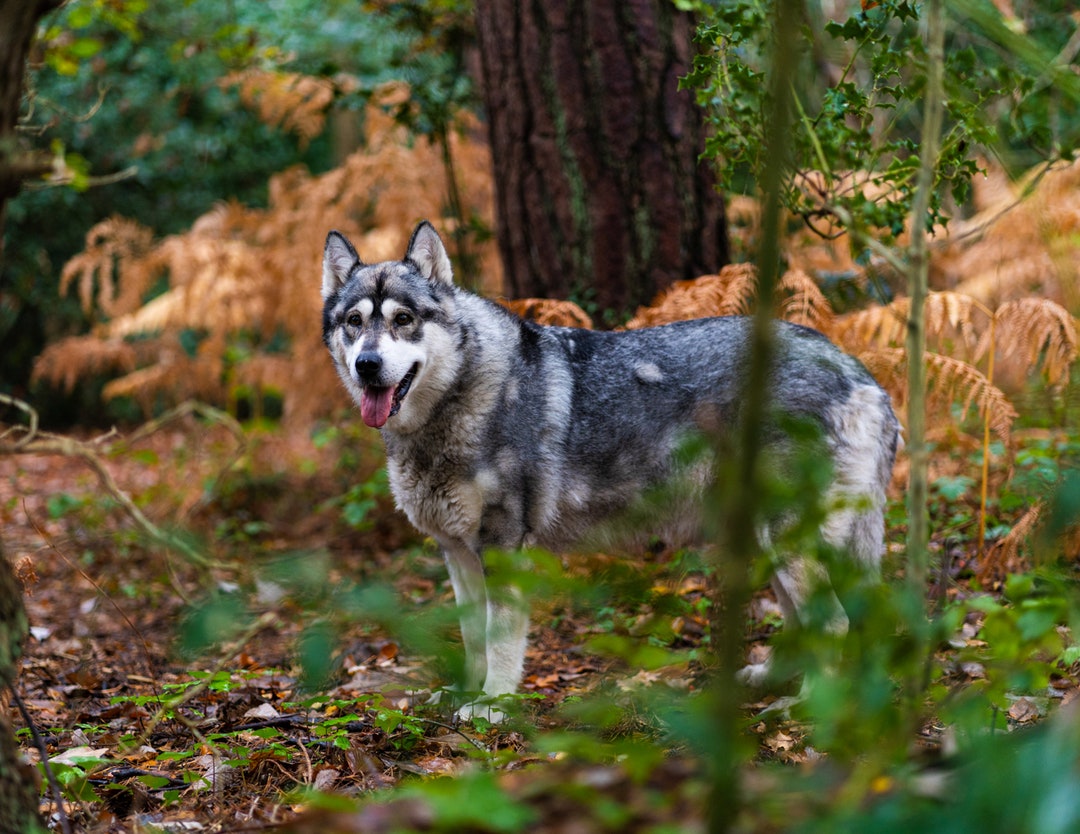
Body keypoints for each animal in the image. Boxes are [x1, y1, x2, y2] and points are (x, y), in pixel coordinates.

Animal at [321, 221, 901, 719]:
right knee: (806, 622)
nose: (367, 366)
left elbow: (500, 640)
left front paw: (490, 706)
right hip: (766, 542)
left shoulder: (502, 546)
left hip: (785, 540)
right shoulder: (457, 552)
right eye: (355, 323)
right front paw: (464, 694)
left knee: (834, 623)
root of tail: (865, 377)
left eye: (403, 320)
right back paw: (768, 681)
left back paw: (805, 709)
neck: (459, 401)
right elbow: (472, 640)